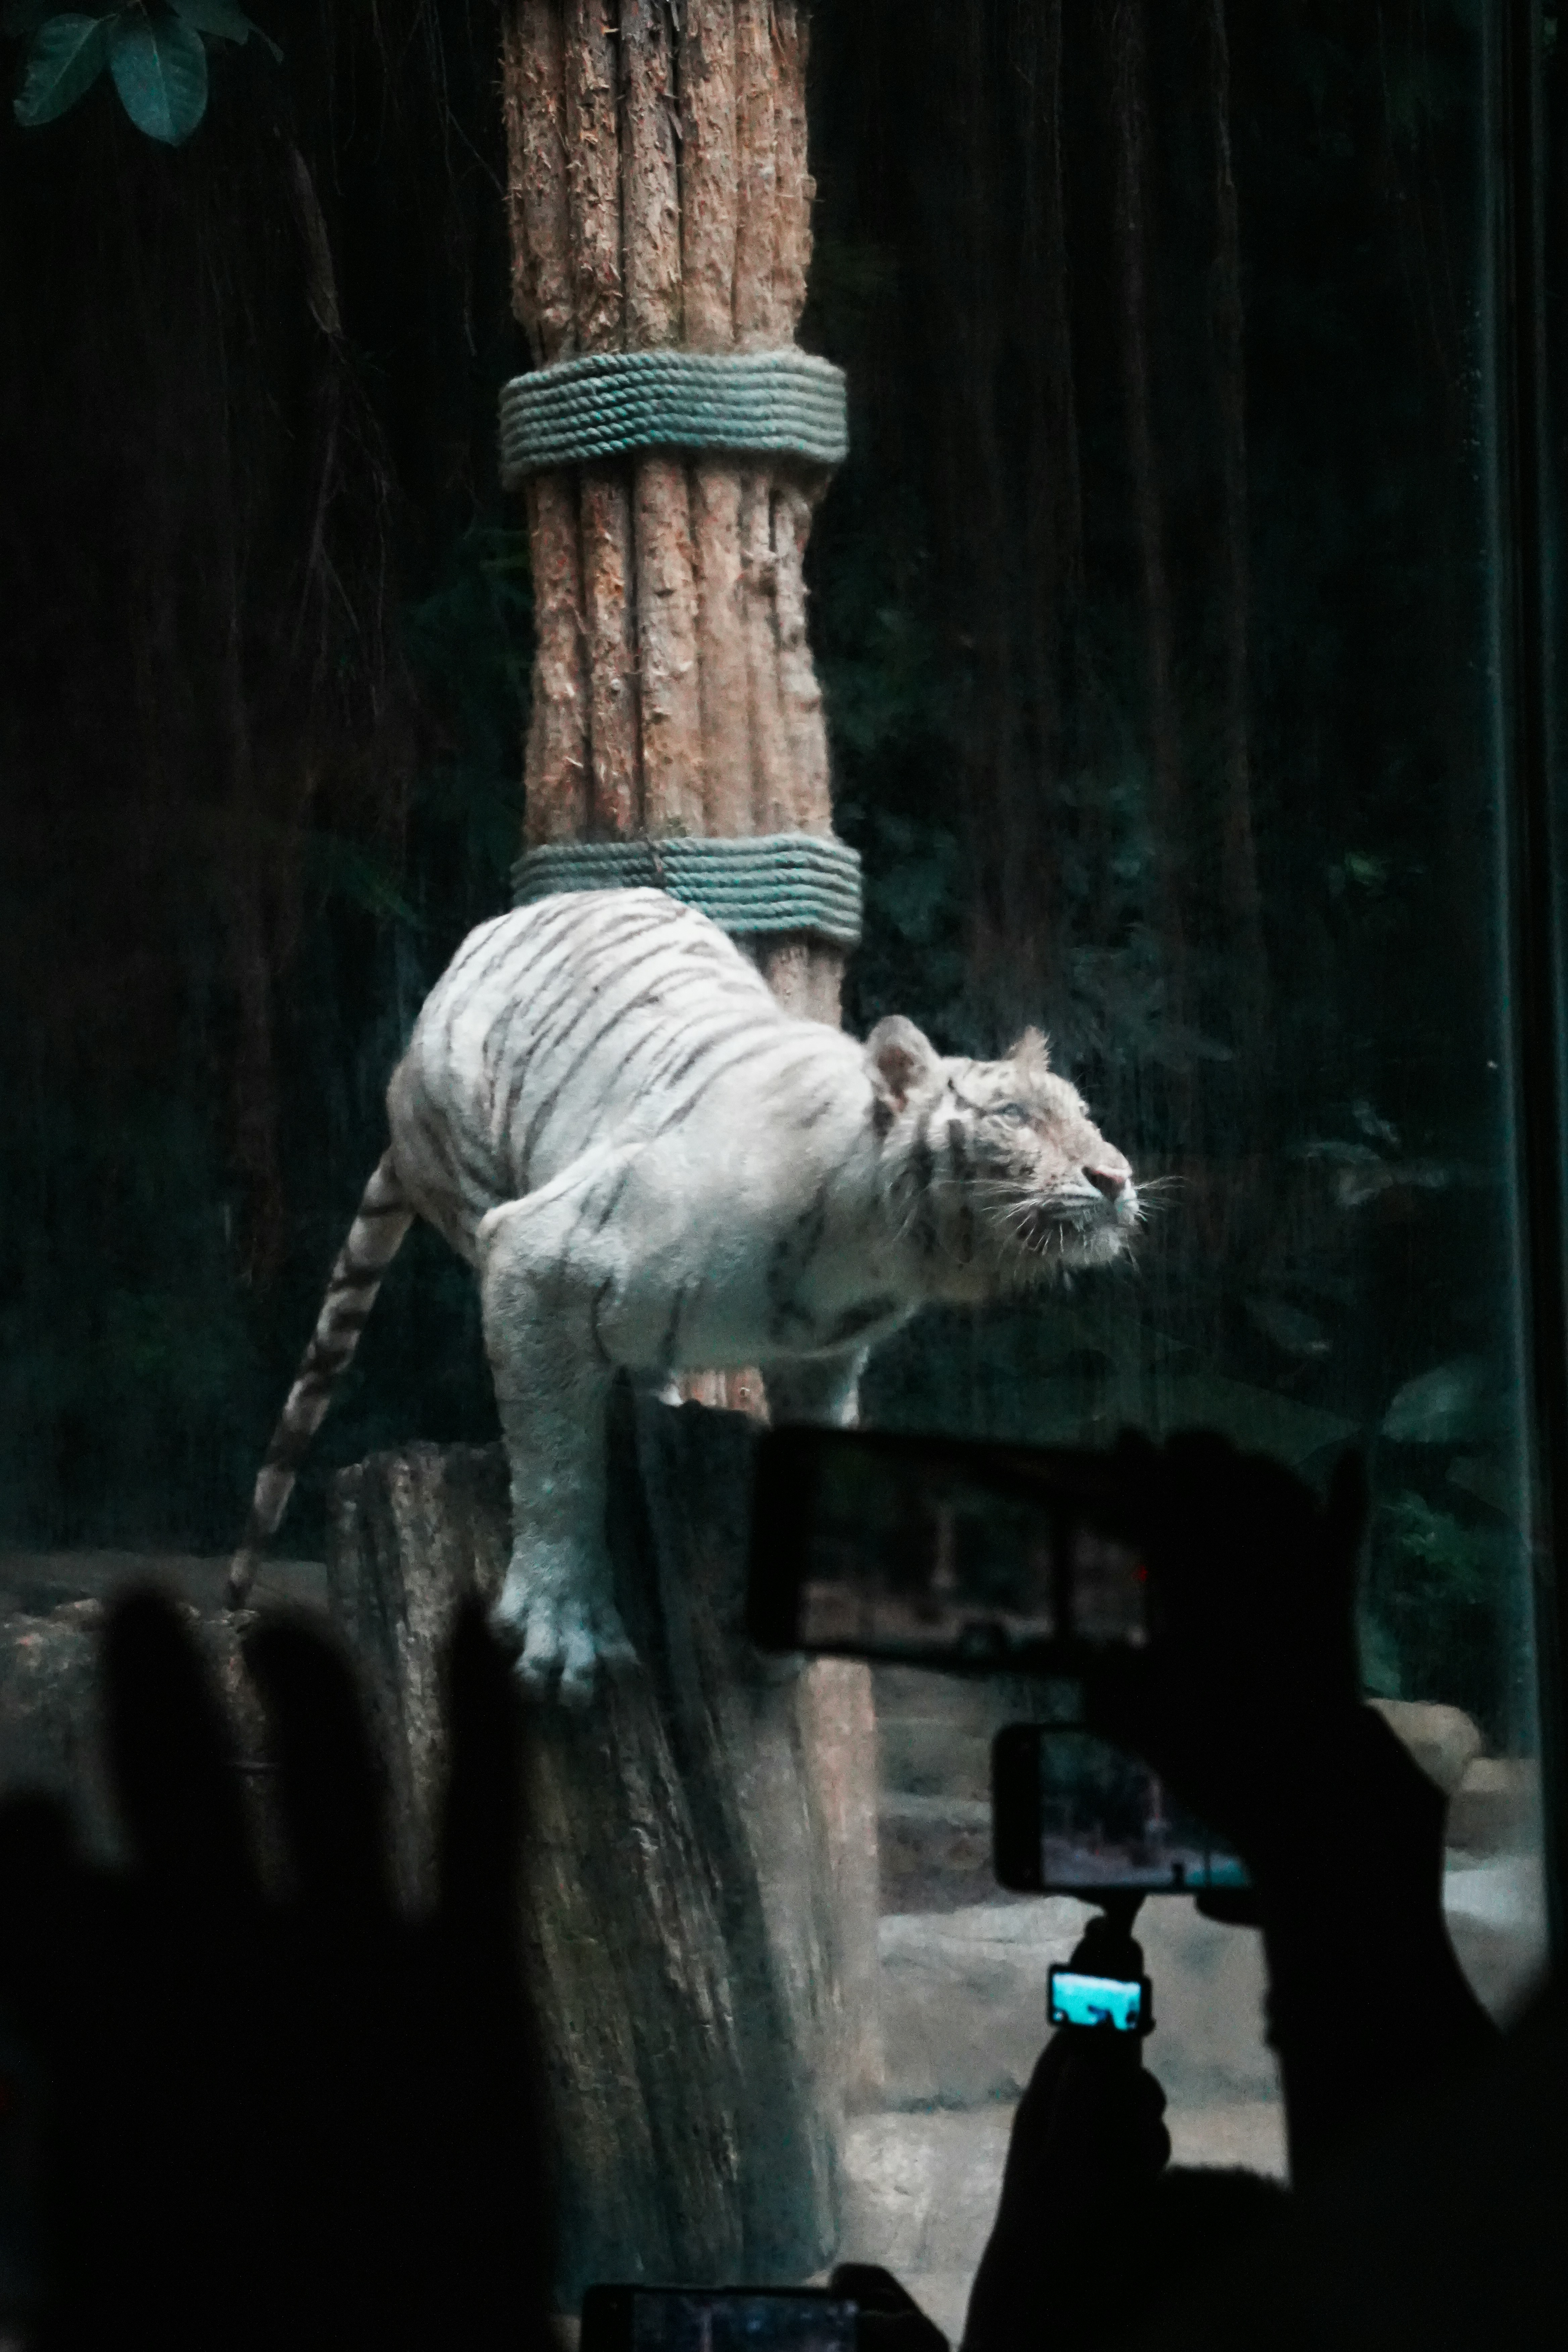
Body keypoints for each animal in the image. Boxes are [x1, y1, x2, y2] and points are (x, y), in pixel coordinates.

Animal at [230, 888, 1139, 1701]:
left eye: (1085, 1111)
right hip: (473, 1169)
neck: (880, 1251)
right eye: (1014, 1114)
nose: (1117, 1177)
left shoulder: (825, 1357)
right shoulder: (534, 1254)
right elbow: (557, 1462)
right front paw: (564, 1630)